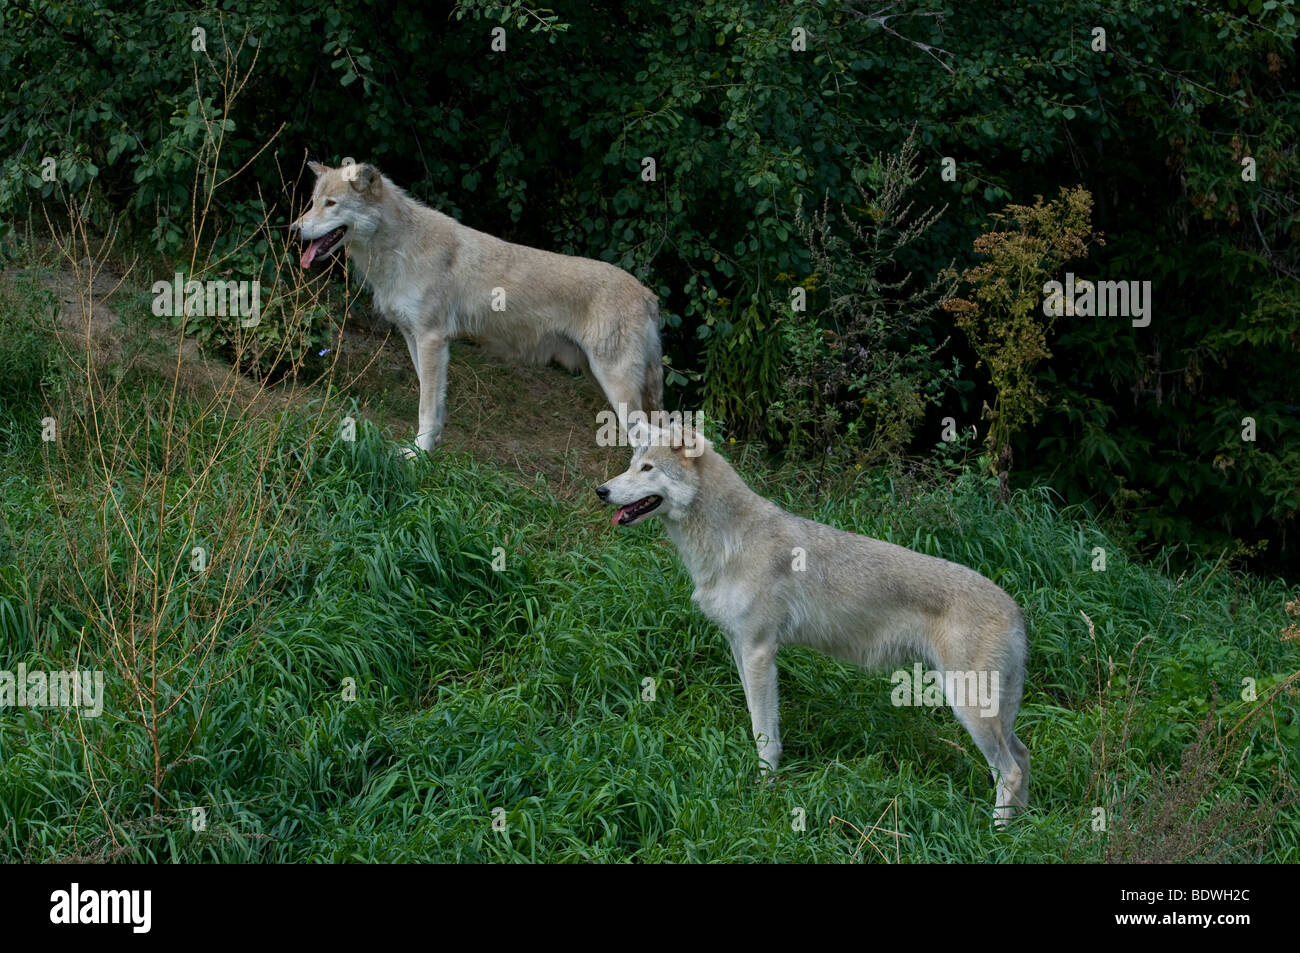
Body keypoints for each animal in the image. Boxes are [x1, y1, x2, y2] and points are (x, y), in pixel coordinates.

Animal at [290, 161, 663, 453]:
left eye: (332, 204)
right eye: (313, 202)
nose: (294, 229)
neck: (399, 247)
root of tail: (648, 295)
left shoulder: (432, 339)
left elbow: (426, 406)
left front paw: (417, 454)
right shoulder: (414, 339)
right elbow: (434, 401)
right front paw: (433, 446)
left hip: (616, 387)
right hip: (600, 379)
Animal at [597, 425, 1030, 825]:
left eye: (647, 468)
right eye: (632, 465)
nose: (601, 491)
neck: (729, 541)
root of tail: (1015, 610)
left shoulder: (759, 652)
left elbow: (765, 735)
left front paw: (765, 790)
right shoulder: (740, 648)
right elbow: (757, 722)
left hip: (968, 706)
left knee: (1008, 770)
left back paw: (996, 834)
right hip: (991, 711)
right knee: (1023, 757)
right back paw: (1023, 826)